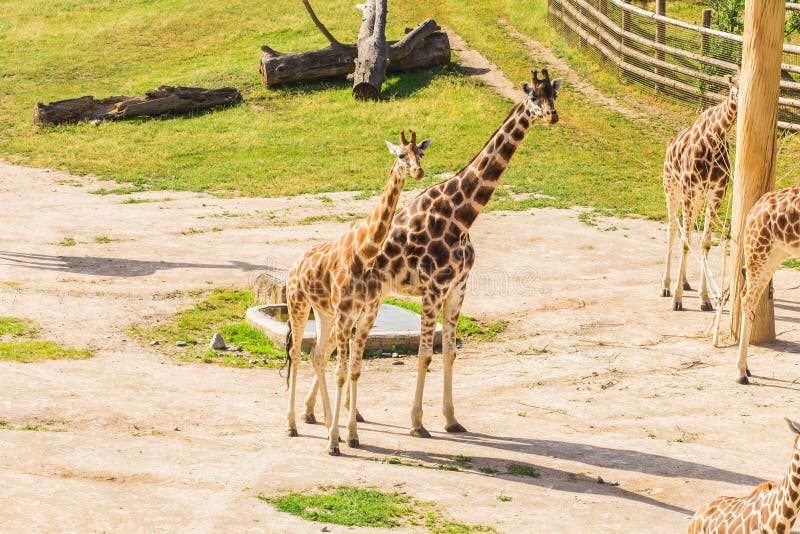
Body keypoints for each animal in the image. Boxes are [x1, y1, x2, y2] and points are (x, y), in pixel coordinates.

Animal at [284, 130, 431, 455]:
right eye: (401, 155)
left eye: (421, 153)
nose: (418, 172)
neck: (367, 252)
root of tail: (295, 265)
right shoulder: (345, 314)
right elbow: (341, 373)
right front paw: (333, 443)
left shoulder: (365, 316)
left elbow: (354, 371)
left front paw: (350, 434)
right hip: (298, 305)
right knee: (296, 354)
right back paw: (291, 425)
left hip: (323, 313)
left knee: (317, 356)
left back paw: (328, 423)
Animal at [303, 69, 561, 437]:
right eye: (533, 97)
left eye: (554, 95)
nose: (552, 116)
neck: (462, 215)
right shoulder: (433, 289)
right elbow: (425, 354)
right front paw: (417, 423)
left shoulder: (458, 289)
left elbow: (450, 353)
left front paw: (452, 419)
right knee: (334, 347)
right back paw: (321, 415)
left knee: (342, 346)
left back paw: (335, 413)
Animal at [661, 74, 738, 312]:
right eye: (735, 86)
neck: (714, 137)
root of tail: (670, 143)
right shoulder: (688, 189)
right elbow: (686, 241)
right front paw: (676, 299)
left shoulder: (717, 194)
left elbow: (704, 243)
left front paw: (705, 299)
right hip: (672, 189)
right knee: (673, 228)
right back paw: (665, 286)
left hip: (696, 199)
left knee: (684, 231)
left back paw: (685, 282)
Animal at [734, 185, 800, 384]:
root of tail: (754, 209)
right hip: (759, 251)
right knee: (747, 299)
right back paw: (741, 372)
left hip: (775, 254)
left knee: (746, 296)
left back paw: (747, 369)